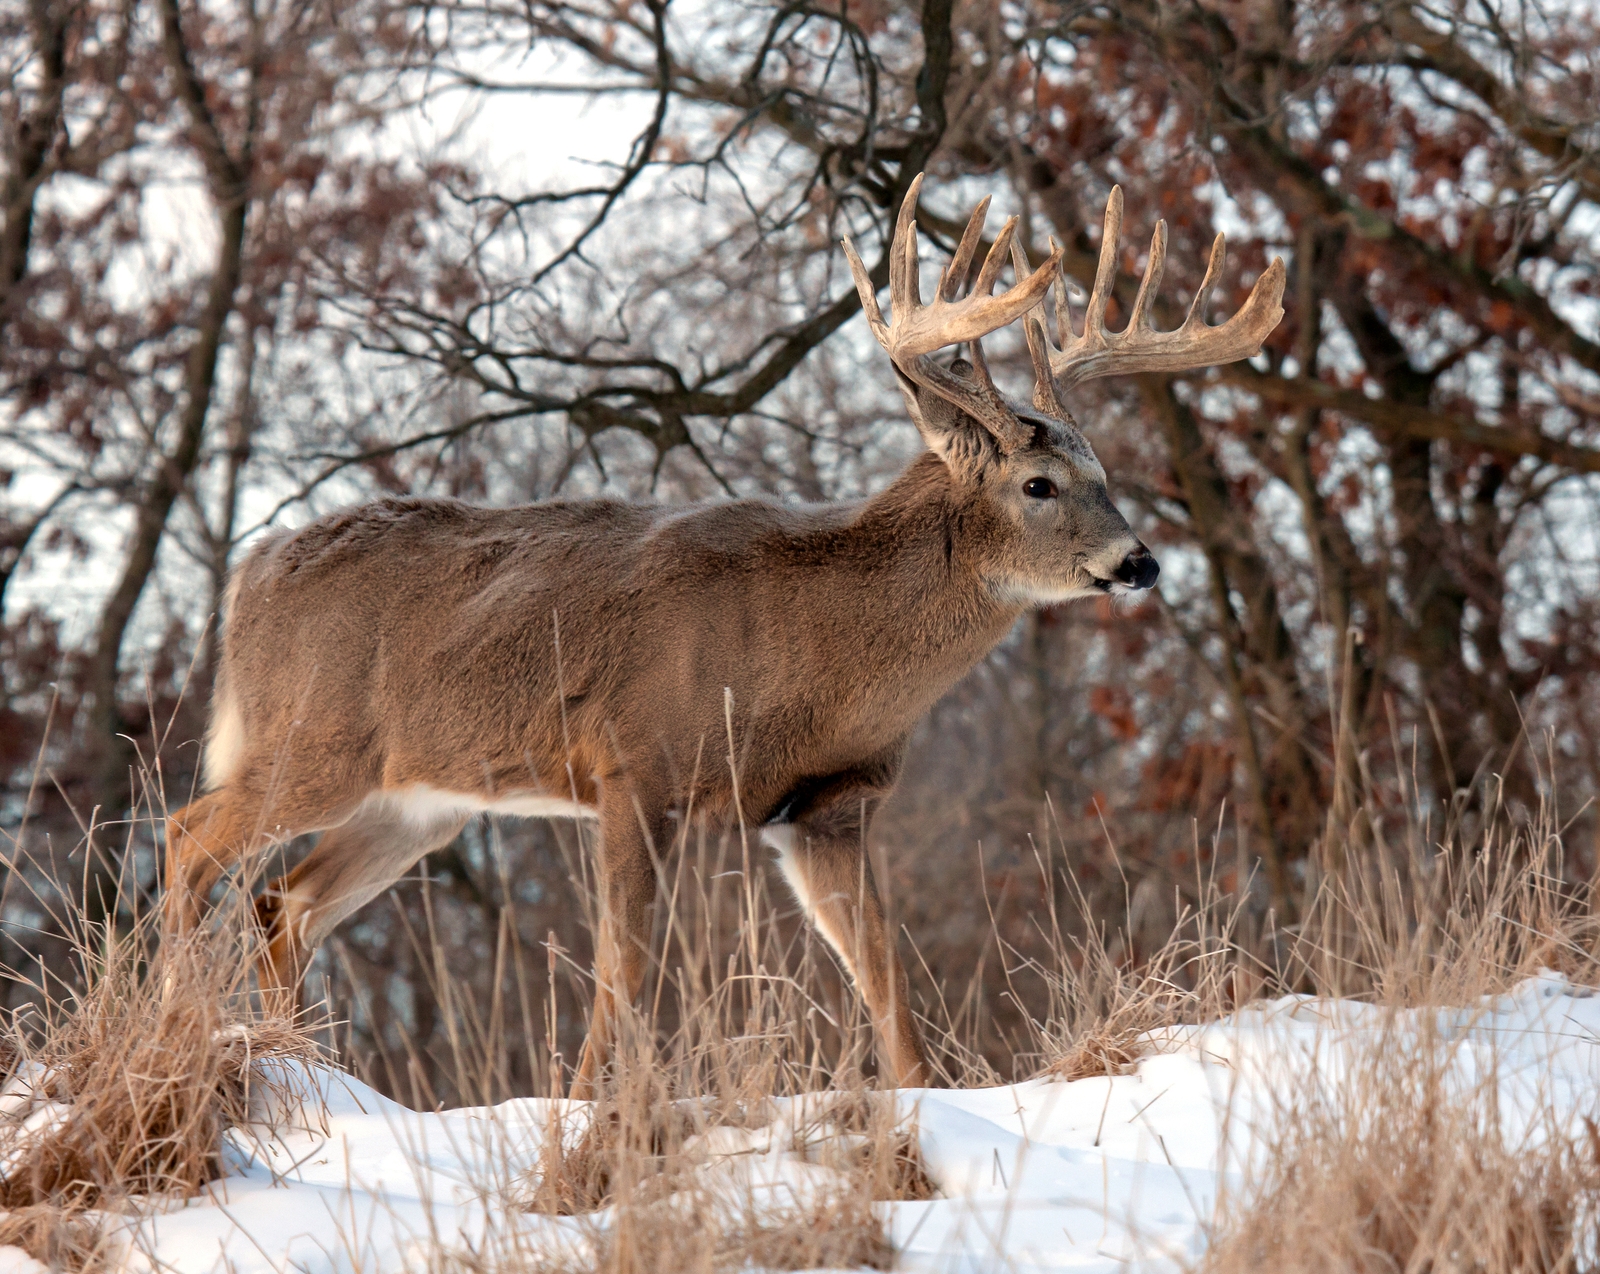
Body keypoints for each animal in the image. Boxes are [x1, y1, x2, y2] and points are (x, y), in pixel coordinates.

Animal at [165, 176, 1284, 1097]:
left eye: (1108, 473)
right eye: (1039, 484)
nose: (1139, 561)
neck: (816, 663)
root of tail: (248, 576)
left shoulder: (826, 804)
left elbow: (883, 968)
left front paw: (925, 1100)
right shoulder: (634, 763)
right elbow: (624, 962)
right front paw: (589, 1108)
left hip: (418, 798)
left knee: (284, 901)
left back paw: (303, 1065)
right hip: (314, 744)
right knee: (191, 837)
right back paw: (190, 1026)